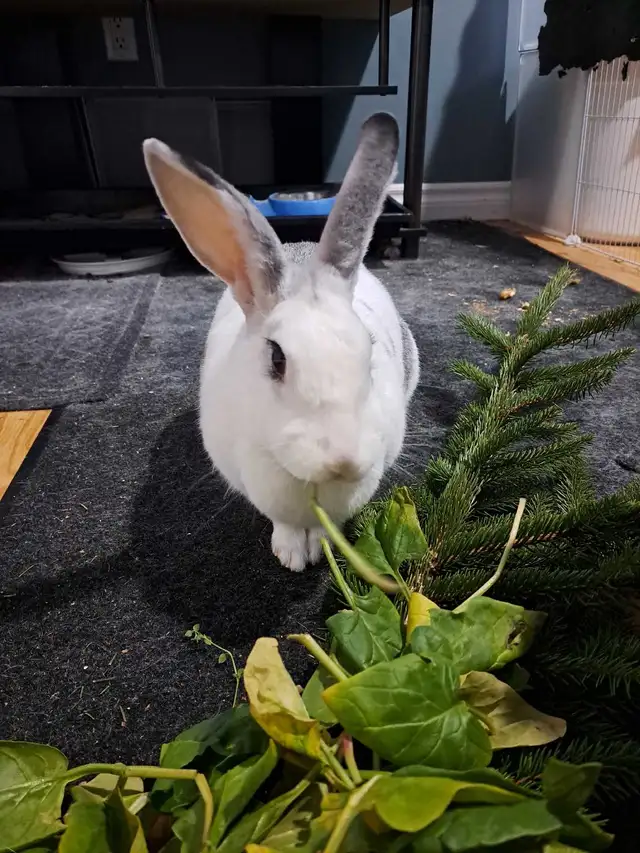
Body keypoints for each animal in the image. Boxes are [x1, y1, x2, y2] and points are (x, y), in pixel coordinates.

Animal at [143, 112, 420, 572]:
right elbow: (285, 524)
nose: (344, 460)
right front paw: (291, 555)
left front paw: (319, 549)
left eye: (370, 353)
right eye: (276, 359)